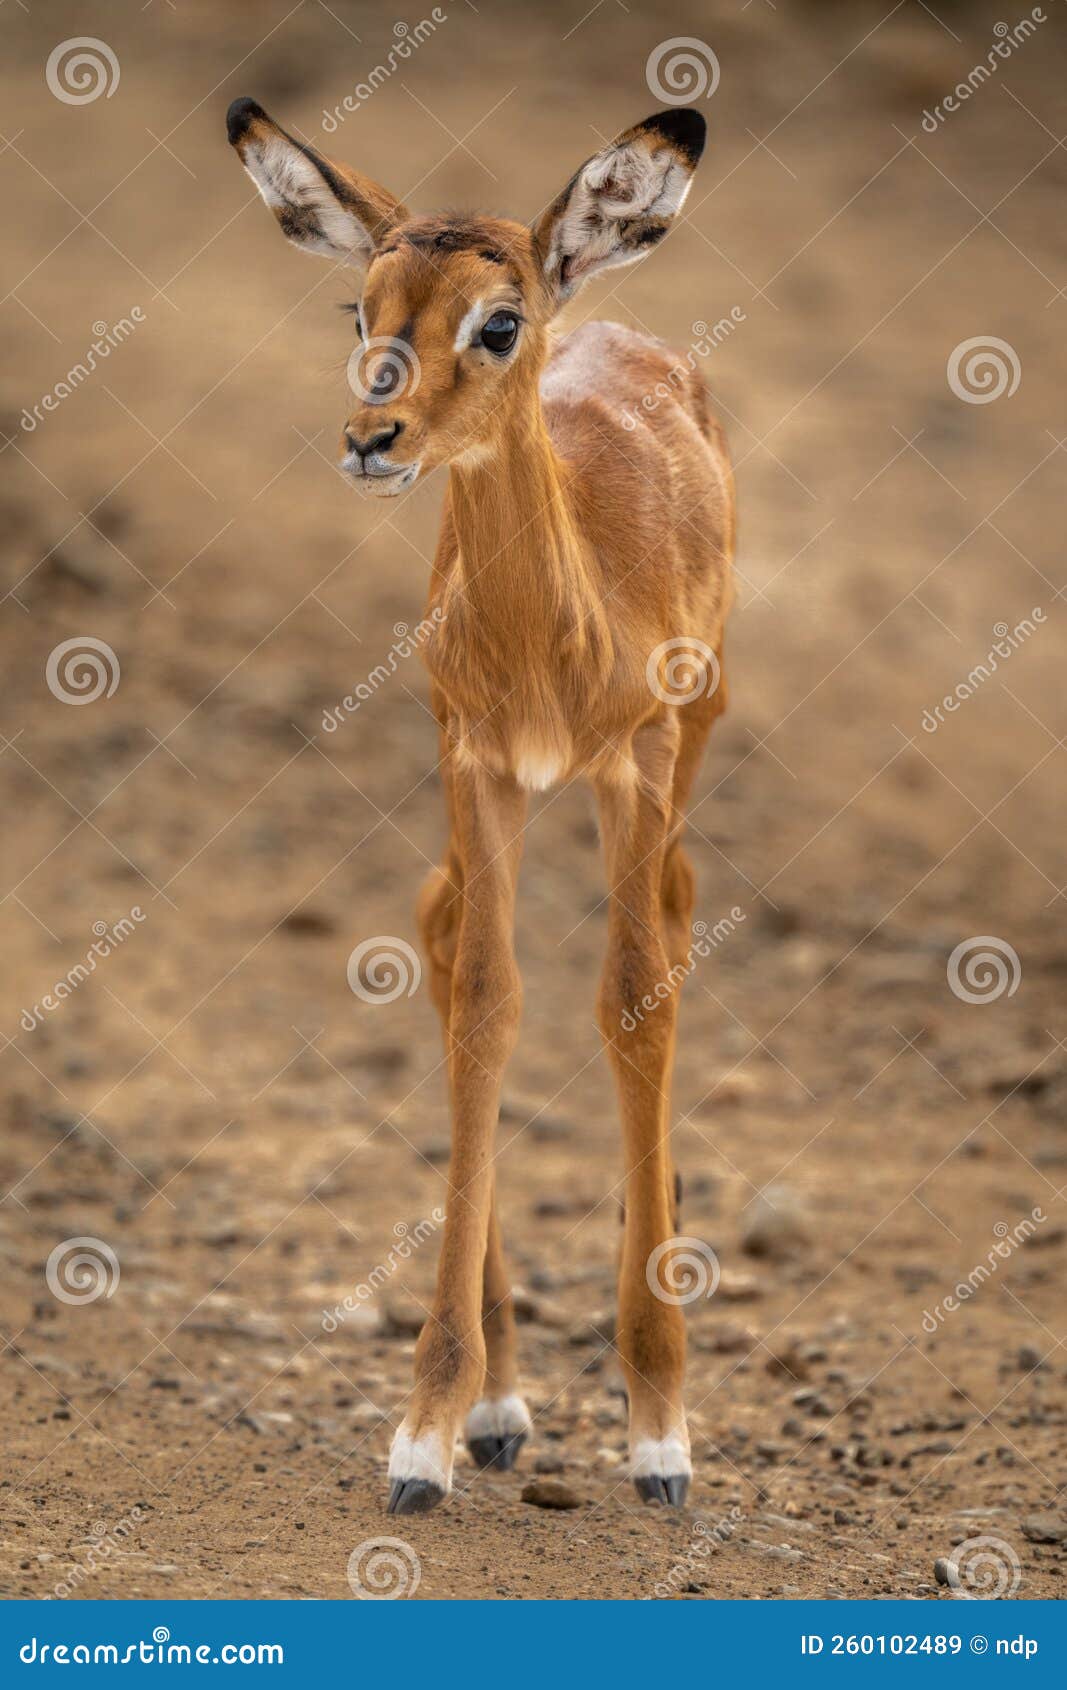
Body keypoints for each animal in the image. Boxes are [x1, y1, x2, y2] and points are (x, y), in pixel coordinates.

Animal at [226, 96, 734, 1514]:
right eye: (359, 307)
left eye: (496, 321)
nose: (369, 438)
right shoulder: (478, 766)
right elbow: (486, 1004)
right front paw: (430, 1430)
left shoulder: (631, 763)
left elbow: (631, 996)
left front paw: (659, 1433)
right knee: (450, 933)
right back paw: (504, 1408)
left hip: (690, 752)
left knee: (672, 930)